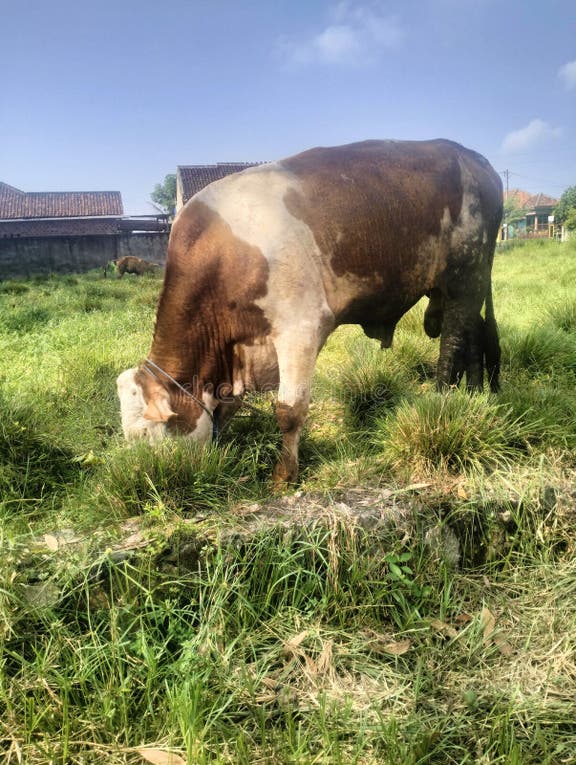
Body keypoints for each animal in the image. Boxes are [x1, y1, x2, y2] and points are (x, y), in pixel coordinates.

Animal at [117, 139, 502, 484]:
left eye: (147, 433)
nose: (144, 476)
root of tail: (474, 158)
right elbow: (225, 410)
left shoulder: (299, 330)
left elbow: (289, 411)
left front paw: (283, 475)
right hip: (458, 287)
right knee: (475, 336)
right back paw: (476, 395)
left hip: (466, 275)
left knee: (453, 344)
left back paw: (442, 399)